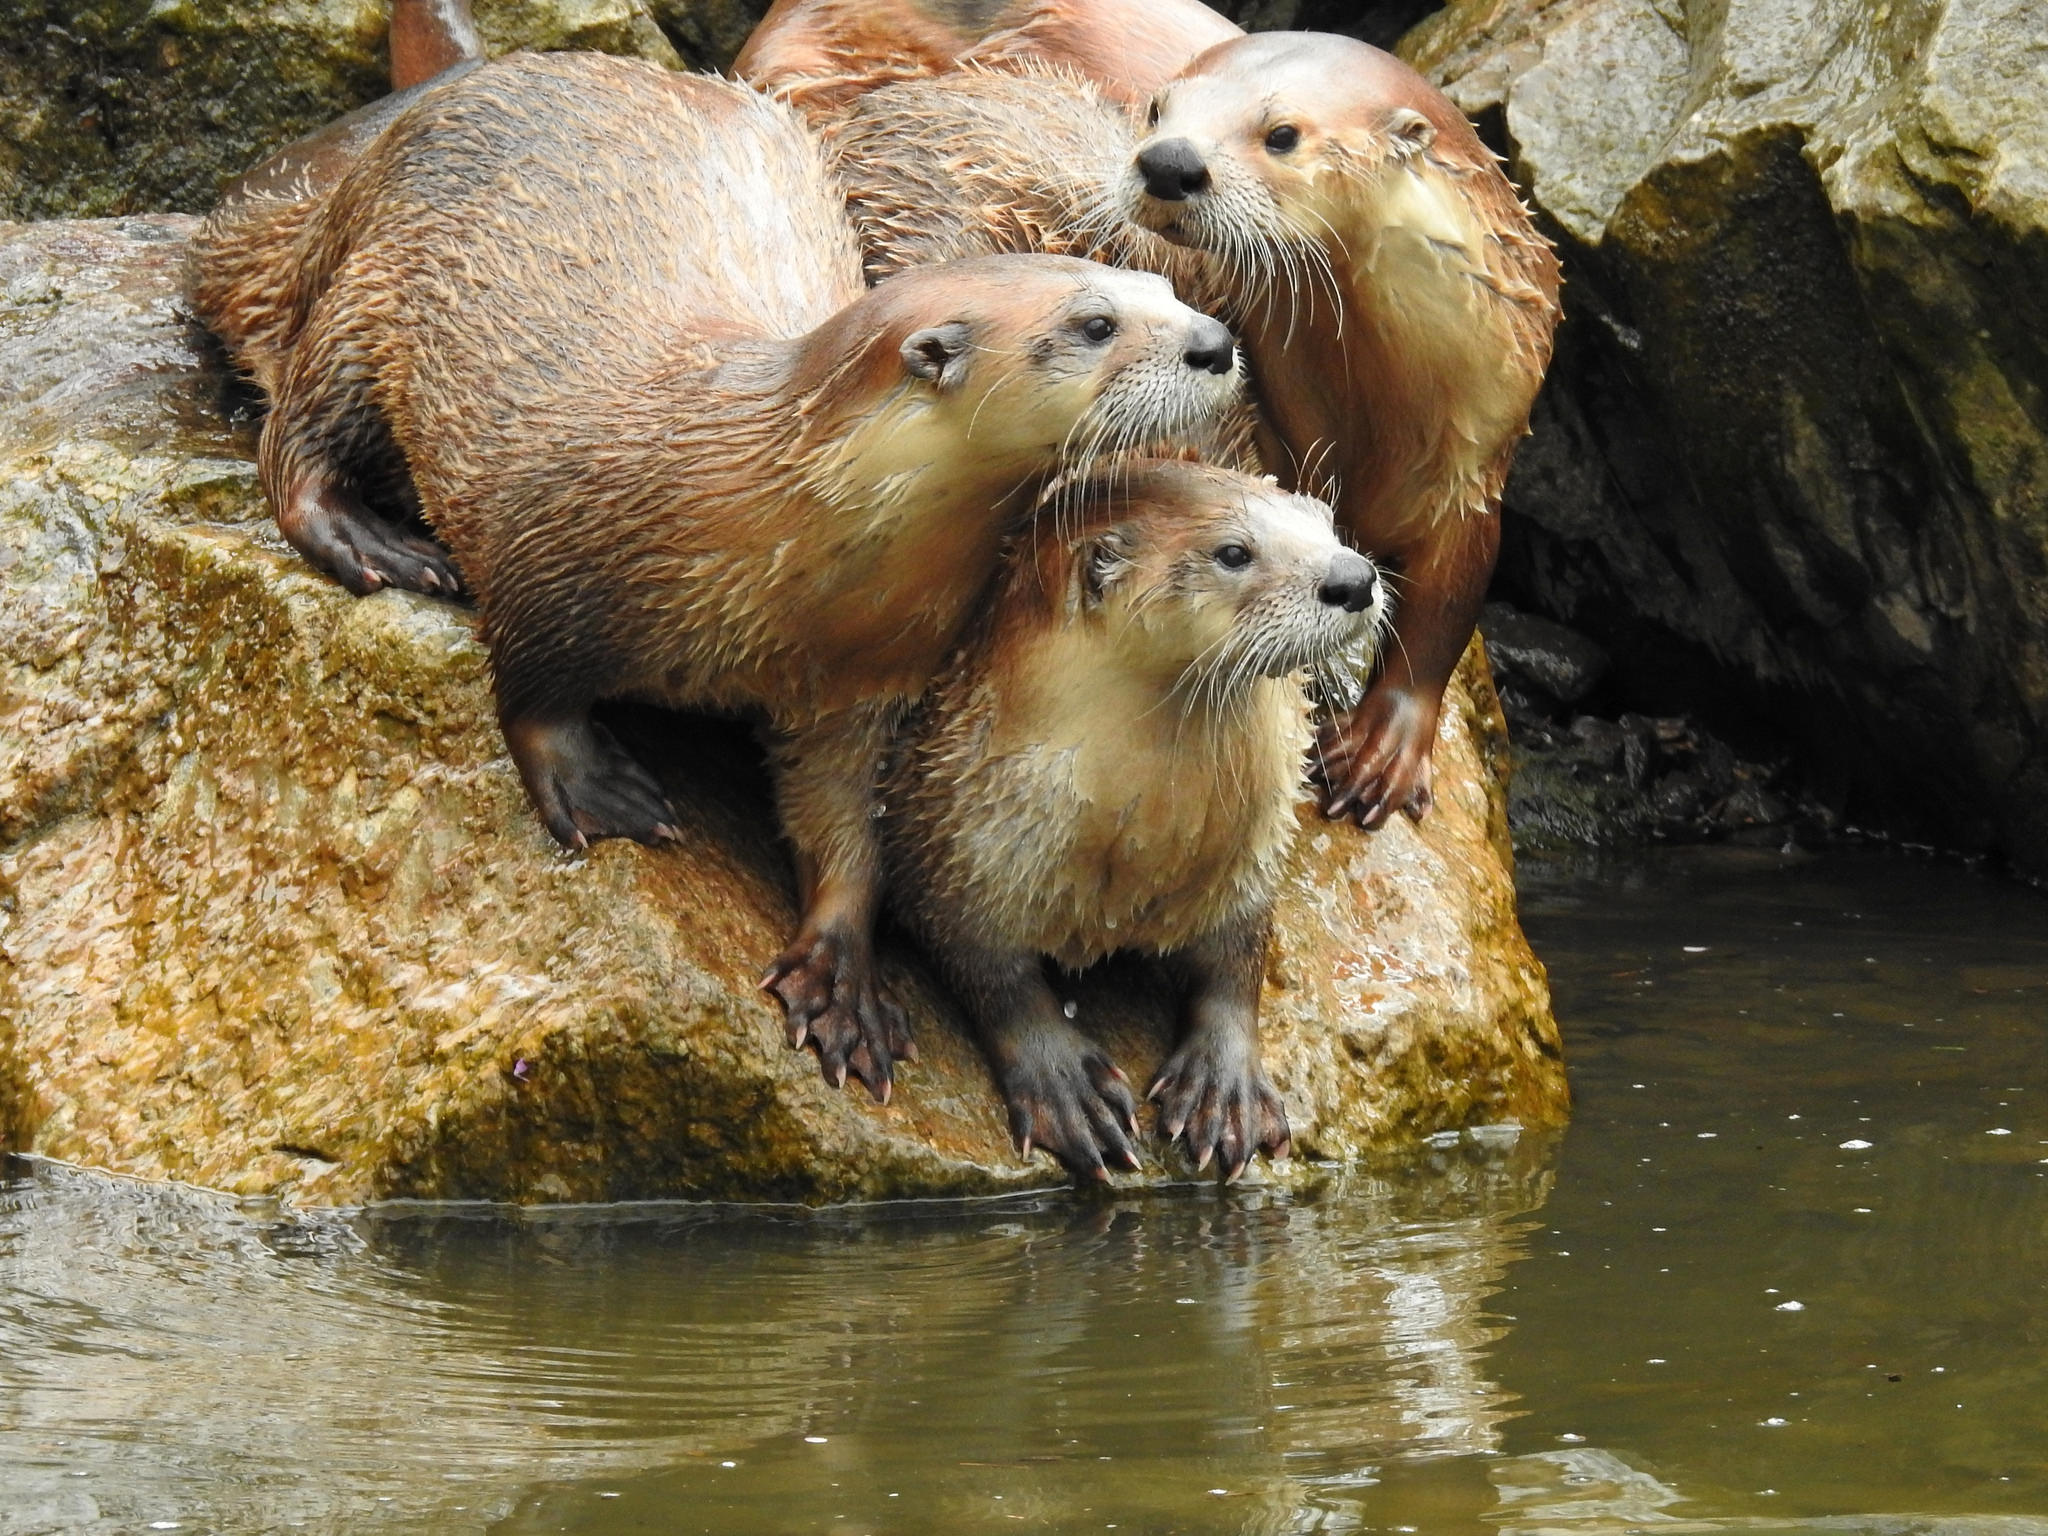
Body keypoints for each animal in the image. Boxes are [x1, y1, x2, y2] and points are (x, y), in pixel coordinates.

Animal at [187, 50, 1243, 1101]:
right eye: (1096, 323)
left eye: (1167, 290)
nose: (1216, 343)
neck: (787, 552)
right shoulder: (559, 549)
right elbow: (529, 682)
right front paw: (592, 786)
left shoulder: (868, 689)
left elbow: (850, 826)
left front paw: (841, 976)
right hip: (370, 297)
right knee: (299, 426)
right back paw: (369, 541)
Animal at [741, 16, 1561, 832]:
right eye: (1159, 110)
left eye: (1283, 134)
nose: (1169, 162)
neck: (1380, 410)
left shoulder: (1479, 452)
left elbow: (1449, 601)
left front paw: (1381, 748)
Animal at [882, 460, 1385, 1181]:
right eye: (1232, 553)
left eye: (1325, 520)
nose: (1355, 577)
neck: (1140, 840)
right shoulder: (945, 835)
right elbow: (990, 971)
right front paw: (1064, 1081)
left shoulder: (1254, 848)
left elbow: (1239, 954)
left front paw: (1224, 1082)